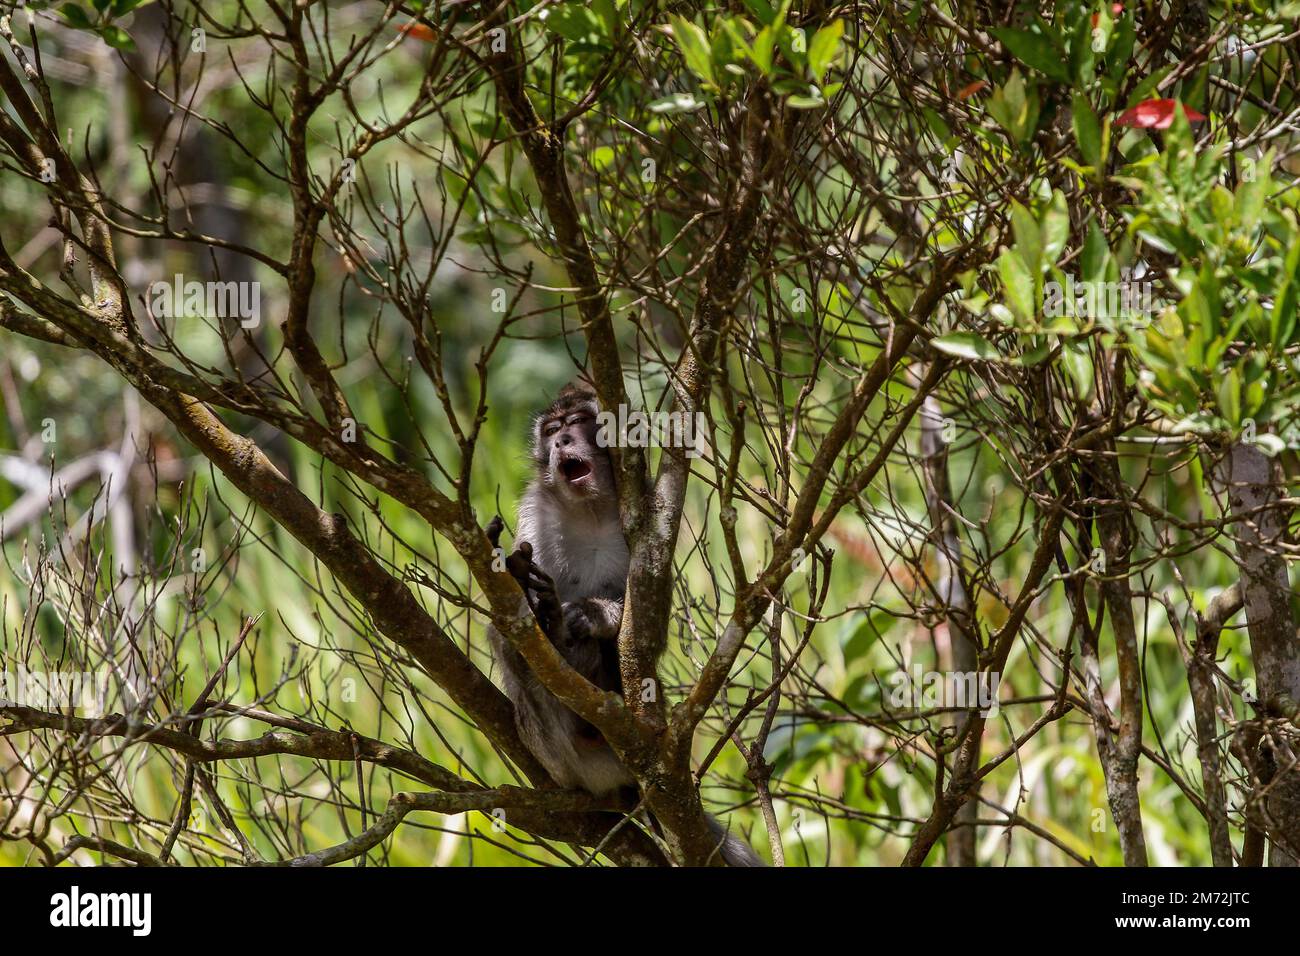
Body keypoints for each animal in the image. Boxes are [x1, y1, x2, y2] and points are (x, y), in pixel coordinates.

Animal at [486, 382, 763, 866]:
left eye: (577, 423)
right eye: (552, 430)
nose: (561, 441)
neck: (591, 509)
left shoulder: (653, 521)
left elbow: (651, 630)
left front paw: (593, 616)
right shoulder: (534, 511)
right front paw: (526, 588)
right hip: (559, 757)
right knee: (510, 643)